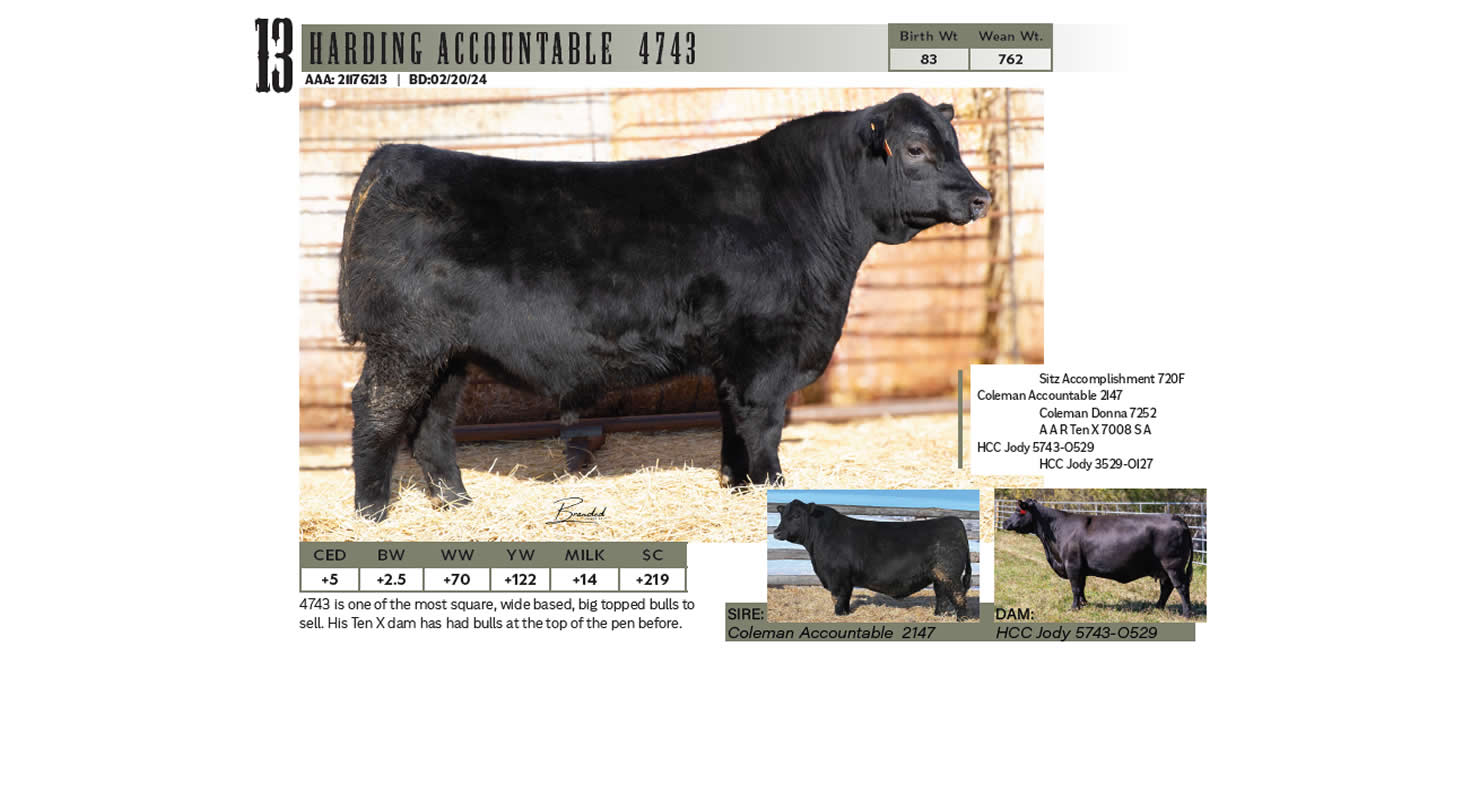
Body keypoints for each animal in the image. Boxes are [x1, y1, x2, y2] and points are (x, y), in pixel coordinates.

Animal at [336, 93, 993, 520]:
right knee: (376, 409)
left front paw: (736, 486)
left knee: (432, 425)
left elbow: (733, 421)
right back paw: (372, 511)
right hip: (404, 343)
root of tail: (393, 156)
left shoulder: (735, 355)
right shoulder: (766, 348)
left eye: (955, 145)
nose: (982, 197)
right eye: (915, 149)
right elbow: (763, 422)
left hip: (449, 352)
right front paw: (770, 489)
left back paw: (456, 502)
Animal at [774, 501, 974, 620]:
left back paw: (962, 618)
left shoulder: (837, 576)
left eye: (796, 515)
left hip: (949, 574)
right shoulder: (846, 579)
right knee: (941, 595)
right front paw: (846, 613)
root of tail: (954, 521)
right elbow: (846, 597)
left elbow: (837, 597)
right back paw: (938, 615)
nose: (776, 532)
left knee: (958, 595)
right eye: (783, 515)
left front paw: (838, 615)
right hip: (940, 575)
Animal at [1001, 499, 1198, 617]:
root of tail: (1177, 518)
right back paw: (1157, 607)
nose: (1004, 523)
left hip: (1173, 565)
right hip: (1163, 568)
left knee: (1181, 587)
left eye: (1019, 511)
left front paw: (1074, 607)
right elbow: (1081, 586)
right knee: (1166, 587)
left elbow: (1075, 587)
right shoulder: (1081, 568)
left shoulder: (1072, 564)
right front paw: (1084, 603)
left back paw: (1186, 613)